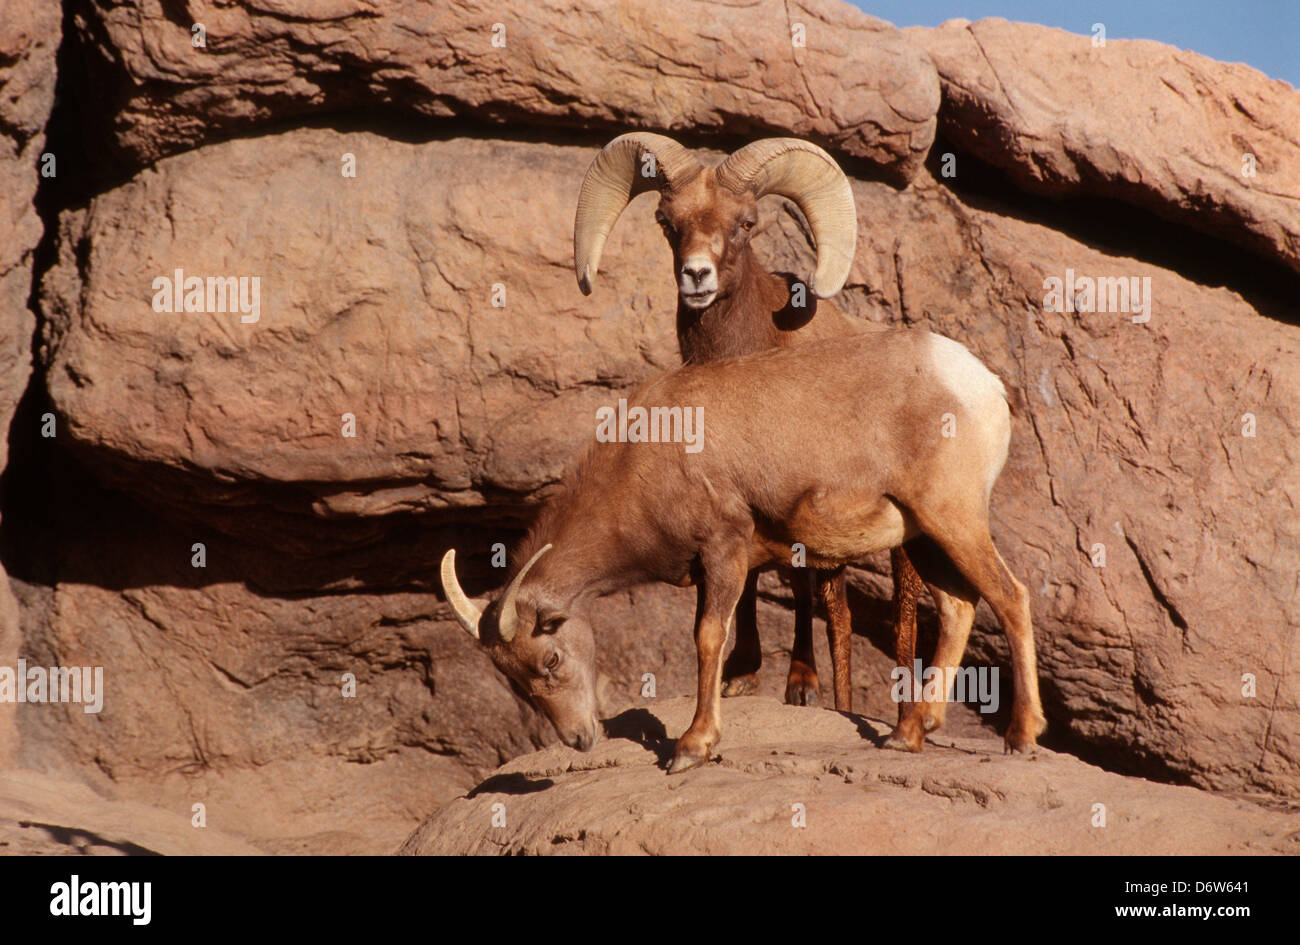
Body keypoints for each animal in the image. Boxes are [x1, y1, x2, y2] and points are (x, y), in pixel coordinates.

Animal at [440, 332, 1047, 773]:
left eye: (551, 659)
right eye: (515, 681)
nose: (580, 739)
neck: (646, 454)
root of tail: (983, 384)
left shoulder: (724, 549)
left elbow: (710, 639)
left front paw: (690, 748)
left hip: (953, 518)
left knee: (1011, 596)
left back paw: (1020, 737)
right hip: (925, 538)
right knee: (959, 607)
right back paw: (907, 735)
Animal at [572, 132, 932, 737]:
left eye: (745, 223)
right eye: (667, 222)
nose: (696, 276)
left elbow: (801, 588)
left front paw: (803, 689)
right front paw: (741, 677)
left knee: (895, 608)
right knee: (837, 609)